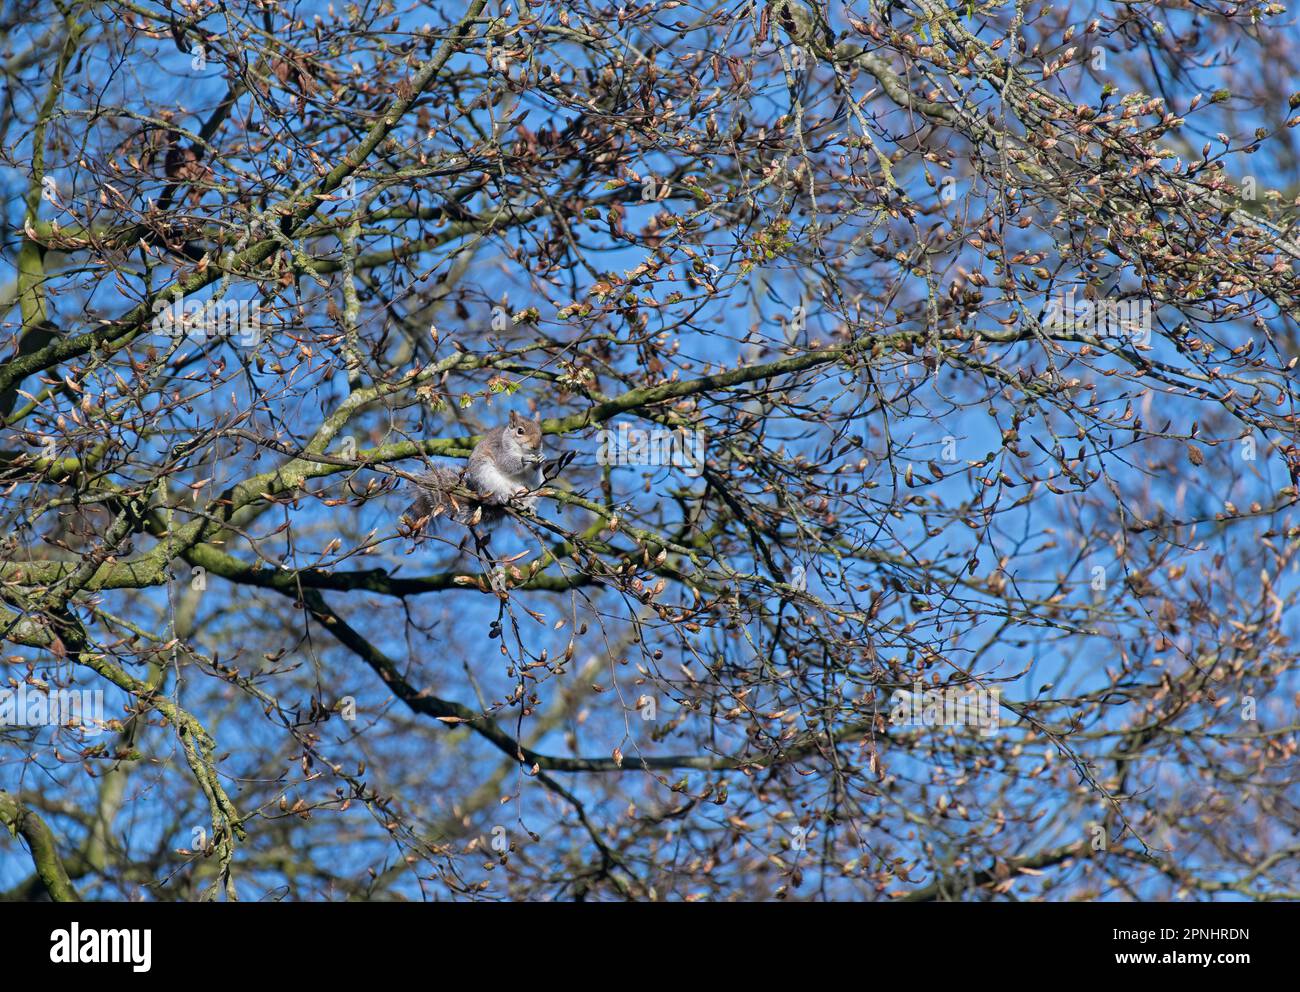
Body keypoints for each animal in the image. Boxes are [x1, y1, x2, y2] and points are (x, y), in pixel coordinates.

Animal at [402, 411, 546, 532]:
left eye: (541, 432)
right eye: (520, 431)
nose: (536, 446)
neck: (520, 449)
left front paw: (541, 459)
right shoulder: (498, 449)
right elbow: (506, 464)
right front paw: (525, 459)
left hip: (535, 487)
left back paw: (527, 506)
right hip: (486, 476)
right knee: (495, 496)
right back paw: (503, 496)